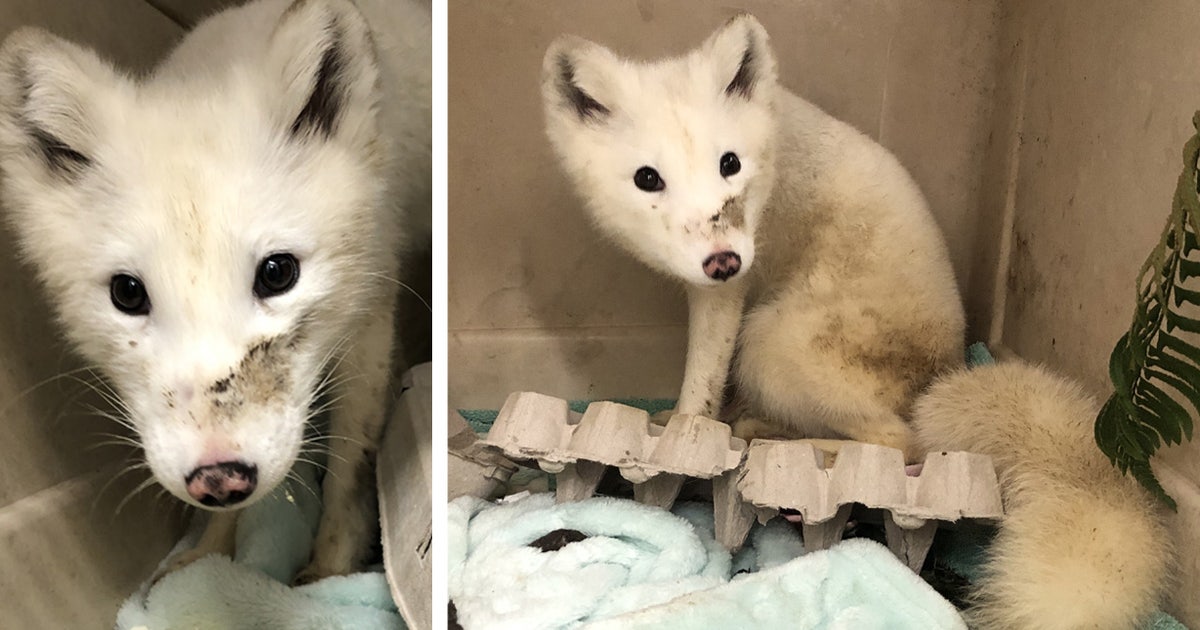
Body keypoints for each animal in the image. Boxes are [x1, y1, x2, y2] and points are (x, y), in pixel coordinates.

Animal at [0, 0, 430, 583]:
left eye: (278, 272)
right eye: (127, 293)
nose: (219, 477)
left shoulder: (370, 315)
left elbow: (351, 463)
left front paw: (331, 569)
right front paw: (212, 553)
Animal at [540, 15, 964, 459]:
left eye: (730, 163)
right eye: (647, 178)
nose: (724, 261)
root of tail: (945, 367)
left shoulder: (724, 295)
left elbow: (700, 386)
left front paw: (681, 435)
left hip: (767, 344)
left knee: (902, 443)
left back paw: (772, 438)